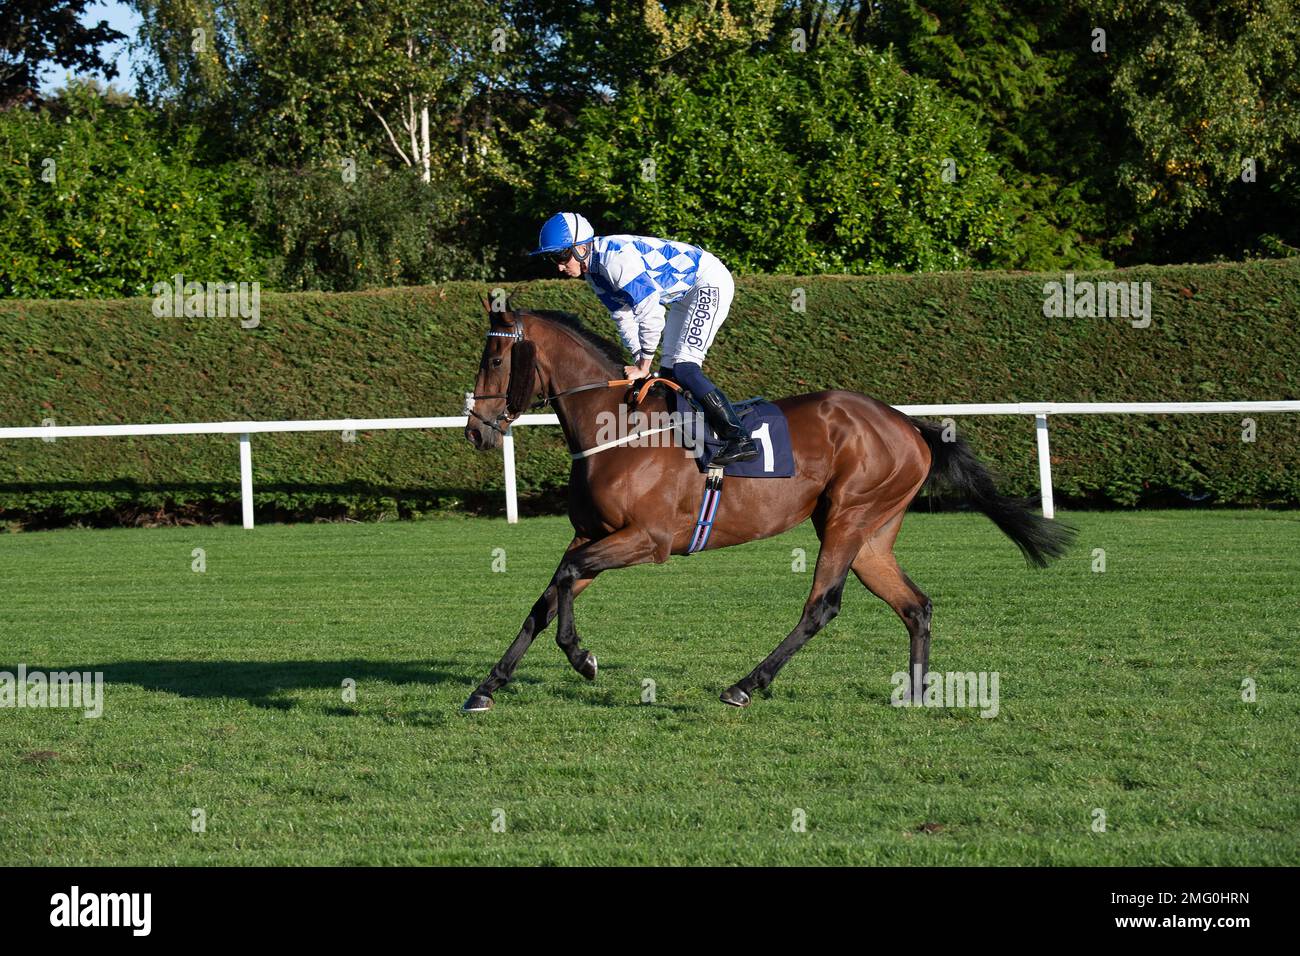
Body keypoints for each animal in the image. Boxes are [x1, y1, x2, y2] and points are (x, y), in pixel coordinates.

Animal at [462, 305, 1074, 712]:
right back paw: (918, 695)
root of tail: (908, 425)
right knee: (915, 605)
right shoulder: (593, 533)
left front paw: (581, 658)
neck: (618, 431)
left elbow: (565, 579)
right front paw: (486, 688)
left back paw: (744, 685)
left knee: (821, 607)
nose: (475, 430)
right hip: (871, 534)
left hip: (849, 517)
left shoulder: (647, 540)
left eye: (493, 358)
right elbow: (543, 603)